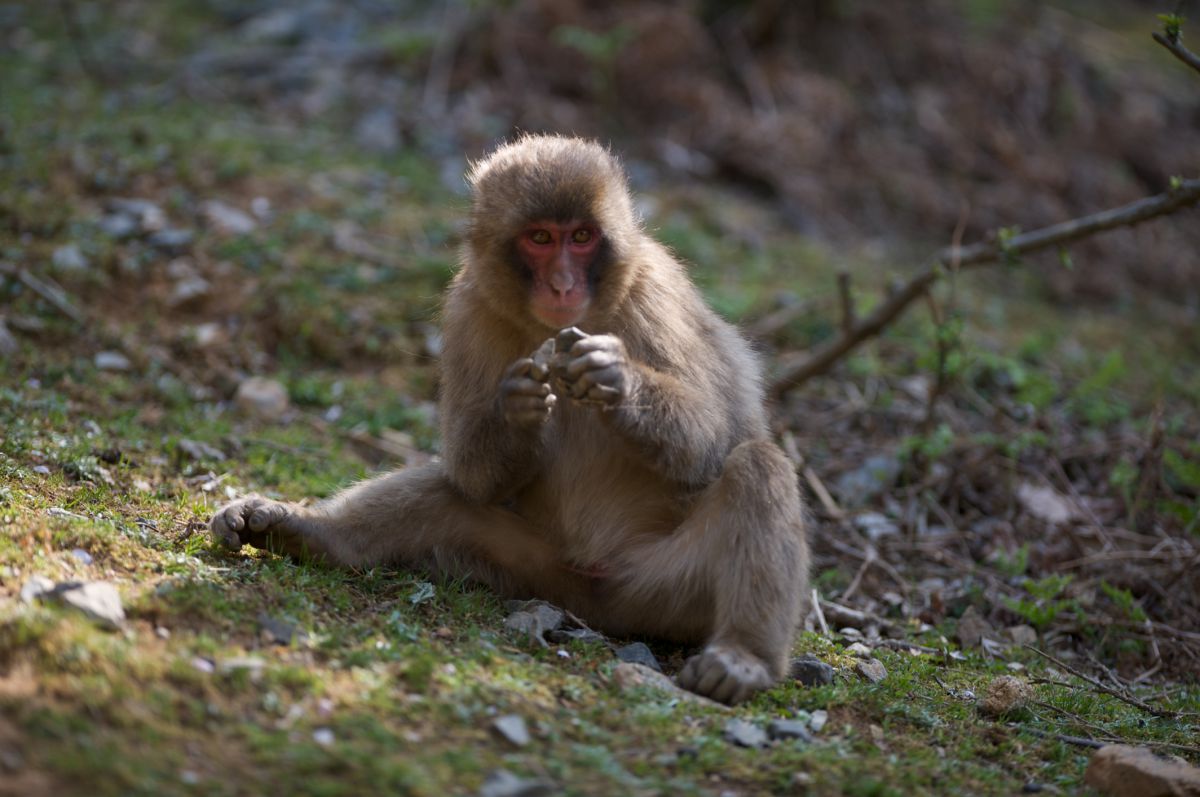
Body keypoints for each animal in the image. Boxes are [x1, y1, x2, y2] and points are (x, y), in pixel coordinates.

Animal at [210, 135, 809, 705]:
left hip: (669, 587)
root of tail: (600, 599)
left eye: (581, 237)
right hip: (532, 568)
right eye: (541, 238)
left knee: (756, 465)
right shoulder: (467, 307)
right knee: (447, 494)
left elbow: (715, 440)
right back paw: (309, 534)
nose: (563, 284)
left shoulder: (655, 296)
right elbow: (471, 472)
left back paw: (745, 657)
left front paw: (616, 379)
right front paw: (515, 408)